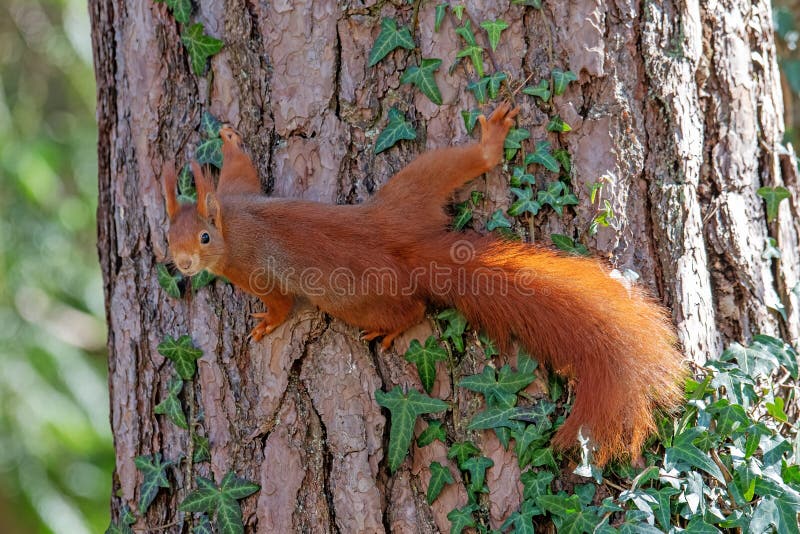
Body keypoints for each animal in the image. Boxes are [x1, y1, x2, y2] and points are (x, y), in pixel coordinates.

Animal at [163, 103, 685, 465]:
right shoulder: (236, 193)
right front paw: (229, 138)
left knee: (411, 310)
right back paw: (488, 144)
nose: (183, 265)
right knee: (457, 165)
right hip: (412, 193)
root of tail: (405, 249)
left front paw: (265, 324)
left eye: (204, 238)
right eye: (167, 236)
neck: (230, 223)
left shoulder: (250, 266)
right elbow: (241, 169)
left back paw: (391, 328)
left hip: (358, 294)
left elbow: (278, 302)